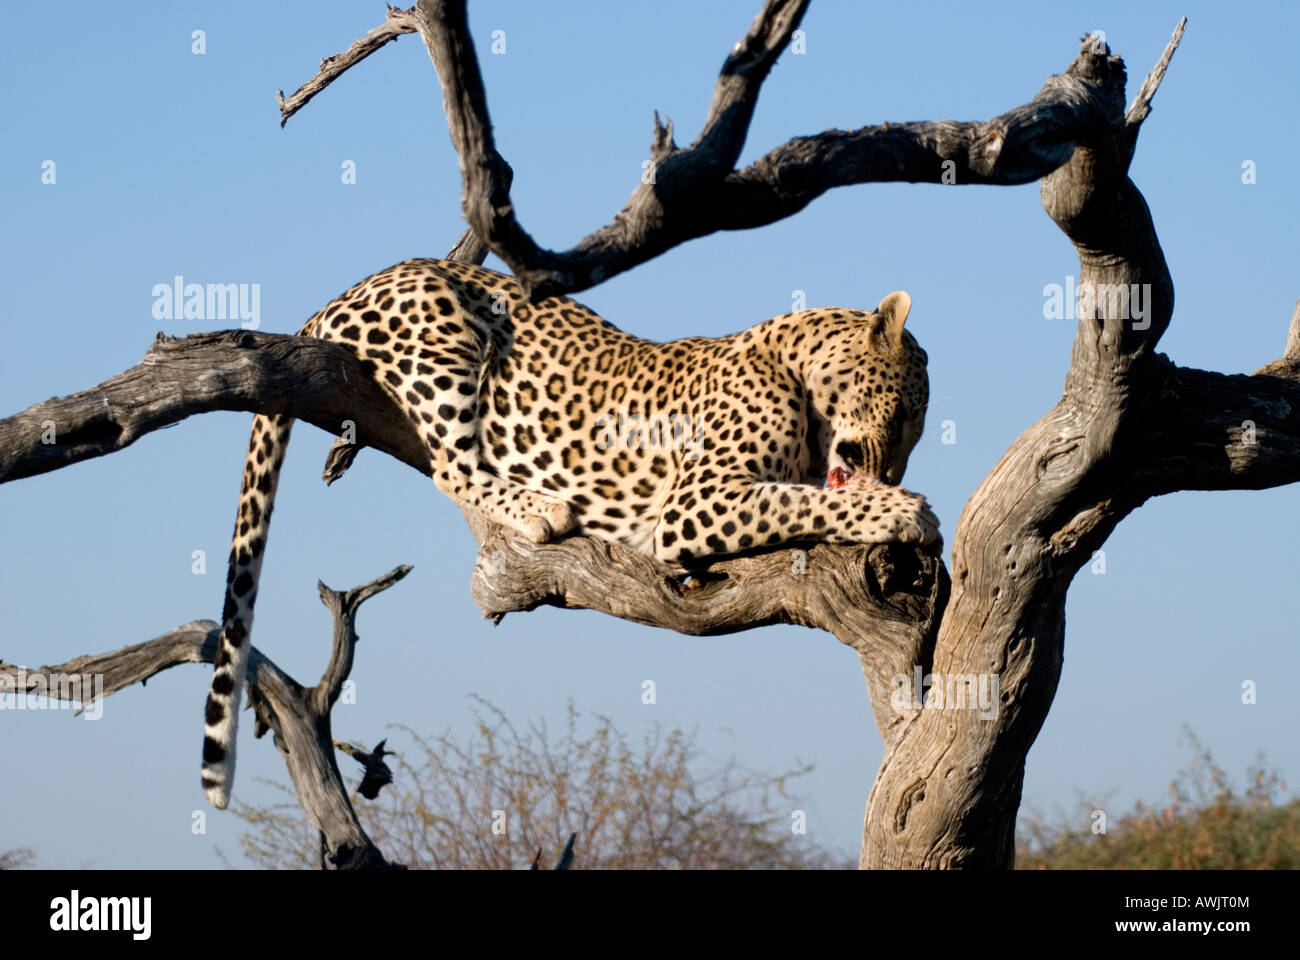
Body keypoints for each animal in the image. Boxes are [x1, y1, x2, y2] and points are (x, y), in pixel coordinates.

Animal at [201, 257, 939, 808]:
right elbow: (800, 502)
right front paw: (906, 510)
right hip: (445, 334)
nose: (893, 468)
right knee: (450, 463)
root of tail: (349, 289)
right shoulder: (694, 503)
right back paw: (536, 506)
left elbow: (800, 501)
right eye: (906, 412)